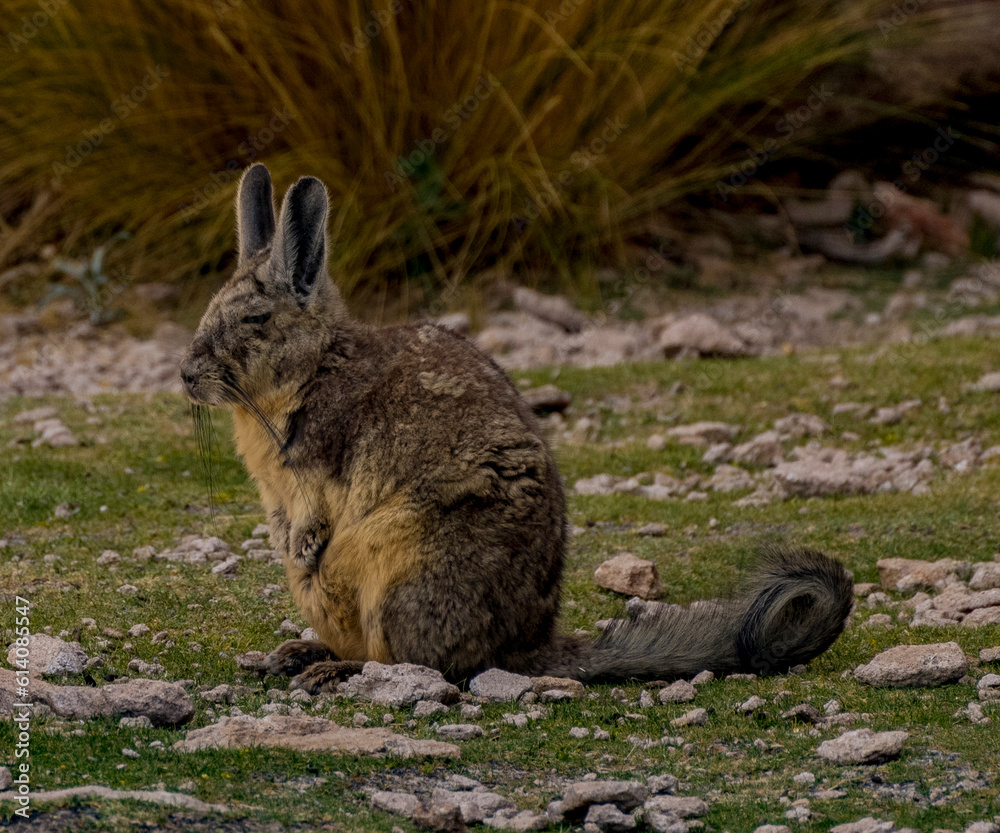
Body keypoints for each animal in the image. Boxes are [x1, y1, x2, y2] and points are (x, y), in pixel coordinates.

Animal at [180, 164, 854, 694]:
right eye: (209, 309)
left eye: (257, 319)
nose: (186, 374)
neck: (311, 370)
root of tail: (527, 645)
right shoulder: (277, 493)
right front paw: (291, 556)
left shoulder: (321, 472)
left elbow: (314, 521)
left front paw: (304, 552)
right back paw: (295, 654)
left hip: (403, 575)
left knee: (421, 665)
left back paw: (330, 668)